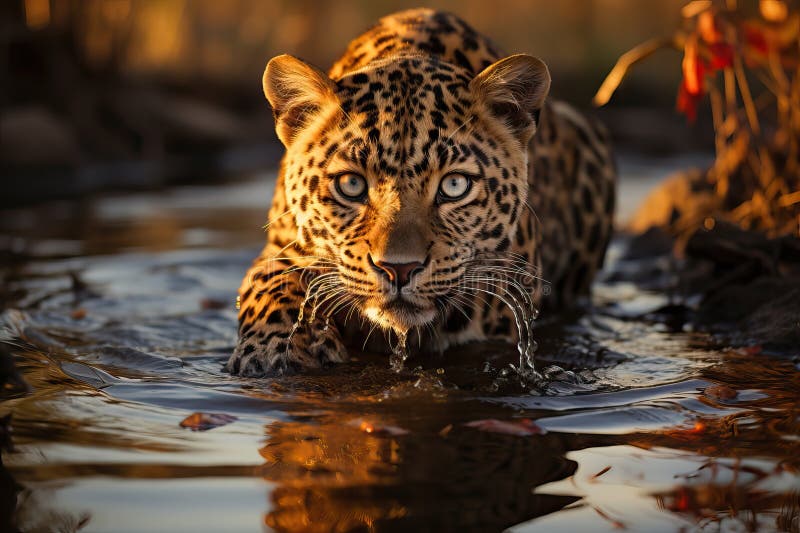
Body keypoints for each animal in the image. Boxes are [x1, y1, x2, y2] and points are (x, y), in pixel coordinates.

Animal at [226, 8, 616, 376]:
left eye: (454, 186)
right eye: (351, 185)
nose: (399, 270)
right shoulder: (284, 243)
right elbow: (270, 282)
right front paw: (278, 349)